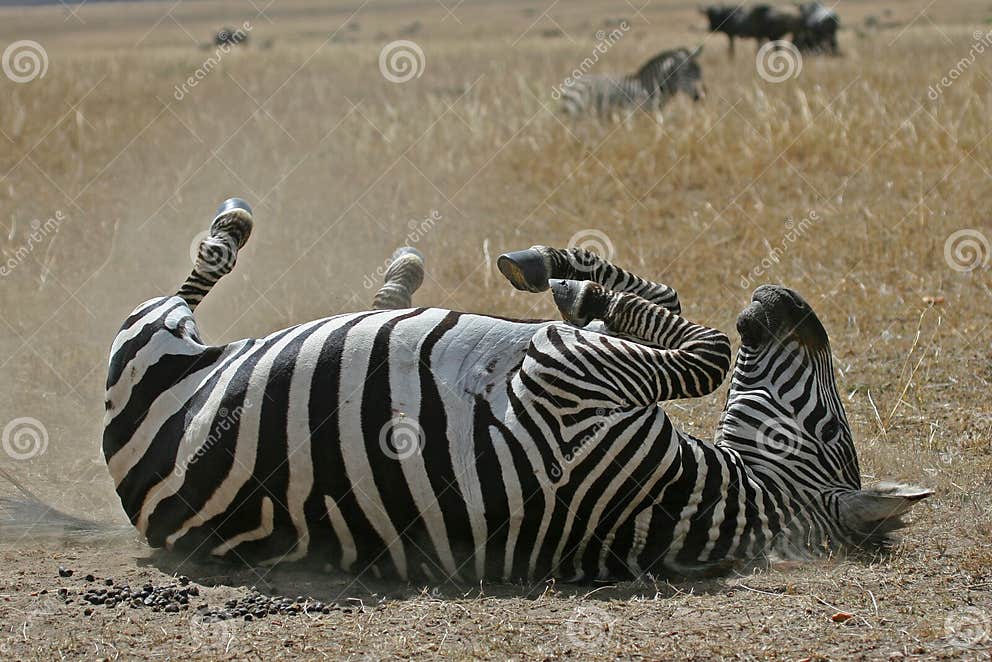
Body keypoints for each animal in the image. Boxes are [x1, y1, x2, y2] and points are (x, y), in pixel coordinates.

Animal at [103, 198, 931, 582]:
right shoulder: (581, 360)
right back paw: (395, 285)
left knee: (191, 282)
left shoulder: (571, 373)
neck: (688, 499)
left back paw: (234, 226)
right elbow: (671, 311)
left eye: (829, 432)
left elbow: (710, 353)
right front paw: (566, 274)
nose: (785, 298)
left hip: (148, 334)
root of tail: (146, 508)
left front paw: (572, 283)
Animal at [560, 46, 705, 119]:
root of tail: (571, 82)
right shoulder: (636, 112)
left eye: (698, 72)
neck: (648, 85)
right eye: (684, 72)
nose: (698, 96)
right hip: (576, 111)